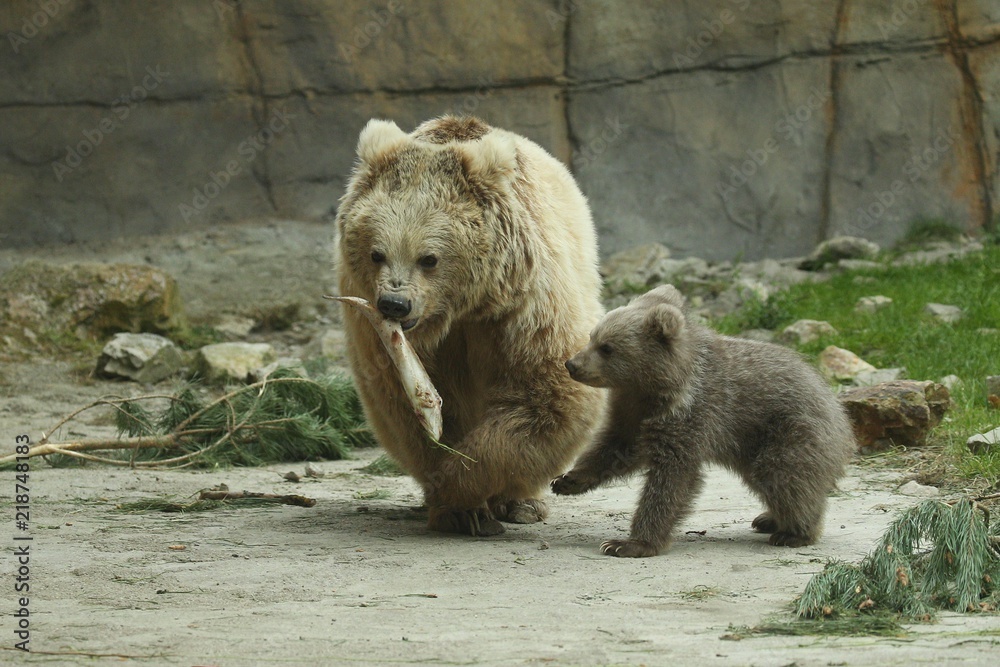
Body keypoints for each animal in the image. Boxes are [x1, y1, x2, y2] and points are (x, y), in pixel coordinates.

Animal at [336, 115, 605, 537]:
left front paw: (465, 485)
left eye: (429, 258)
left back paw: (522, 502)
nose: (395, 304)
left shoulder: (524, 304)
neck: (462, 307)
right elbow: (409, 406)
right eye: (377, 253)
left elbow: (546, 394)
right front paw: (456, 507)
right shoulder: (378, 332)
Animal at [552, 284, 855, 557]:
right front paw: (567, 479)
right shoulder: (632, 412)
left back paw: (794, 532)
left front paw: (628, 544)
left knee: (785, 476)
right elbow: (615, 448)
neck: (654, 387)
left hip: (789, 430)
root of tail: (840, 415)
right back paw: (769, 519)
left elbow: (672, 480)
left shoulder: (692, 415)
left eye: (607, 348)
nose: (572, 364)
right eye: (592, 336)